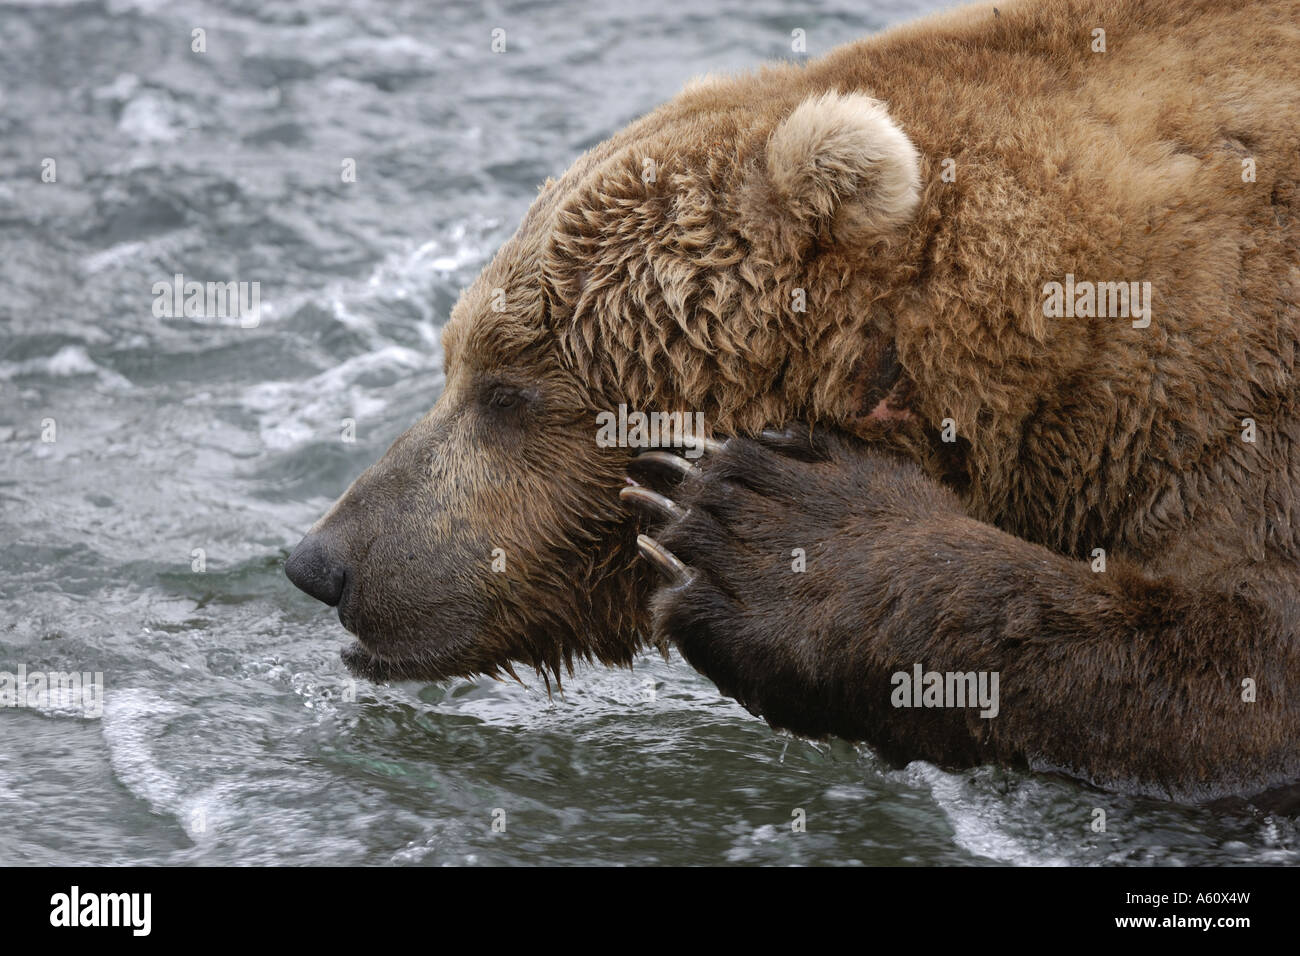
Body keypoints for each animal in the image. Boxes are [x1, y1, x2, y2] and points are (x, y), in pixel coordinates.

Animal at [286, 0, 1300, 802]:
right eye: (452, 361)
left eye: (507, 391)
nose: (323, 560)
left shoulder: (1242, 421)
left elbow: (1236, 670)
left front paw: (756, 523)